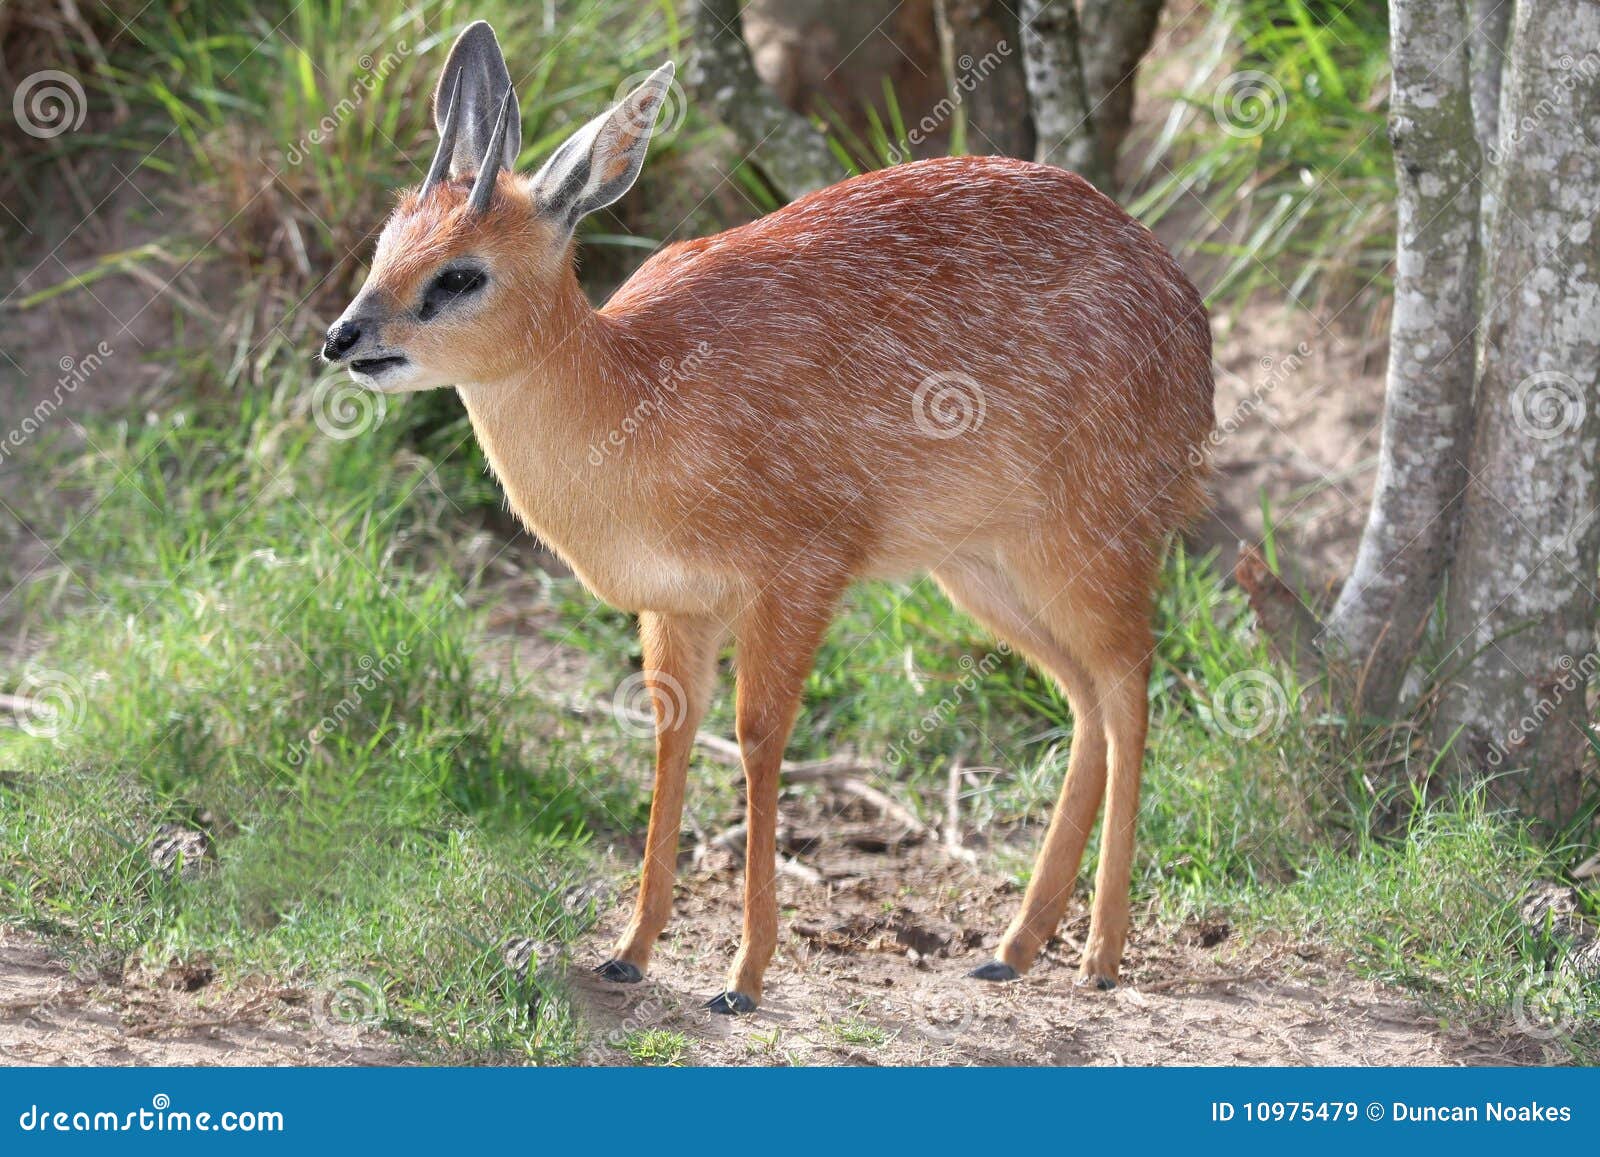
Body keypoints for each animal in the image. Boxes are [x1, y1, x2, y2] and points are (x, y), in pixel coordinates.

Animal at [324, 21, 1214, 1014]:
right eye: (387, 242)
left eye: (460, 273)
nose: (343, 337)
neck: (634, 396)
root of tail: (1187, 310)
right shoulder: (676, 605)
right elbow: (673, 732)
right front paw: (630, 948)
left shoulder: (798, 576)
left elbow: (757, 738)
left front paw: (744, 974)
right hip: (984, 570)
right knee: (1088, 697)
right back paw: (1013, 945)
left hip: (1088, 538)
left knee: (1132, 684)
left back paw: (1101, 953)